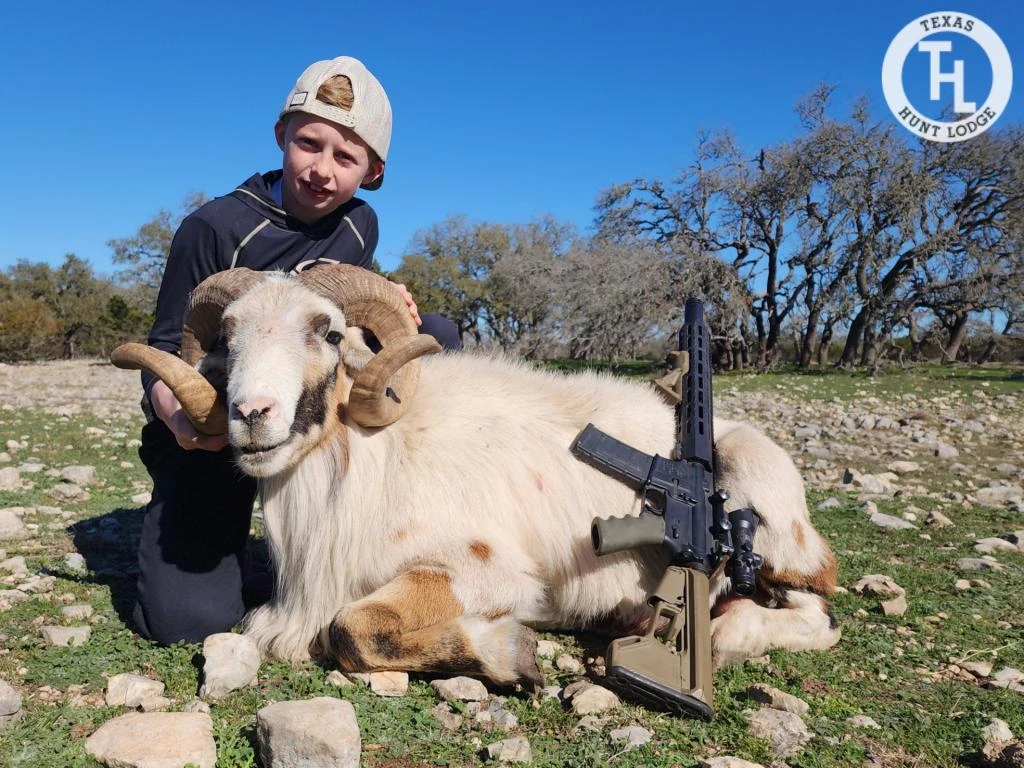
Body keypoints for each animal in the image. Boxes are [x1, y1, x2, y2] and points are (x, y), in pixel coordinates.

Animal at [113, 264, 839, 686]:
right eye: (228, 337)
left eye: (329, 332)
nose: (251, 414)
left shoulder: (484, 573)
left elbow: (353, 628)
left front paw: (511, 657)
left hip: (773, 529)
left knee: (812, 617)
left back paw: (718, 637)